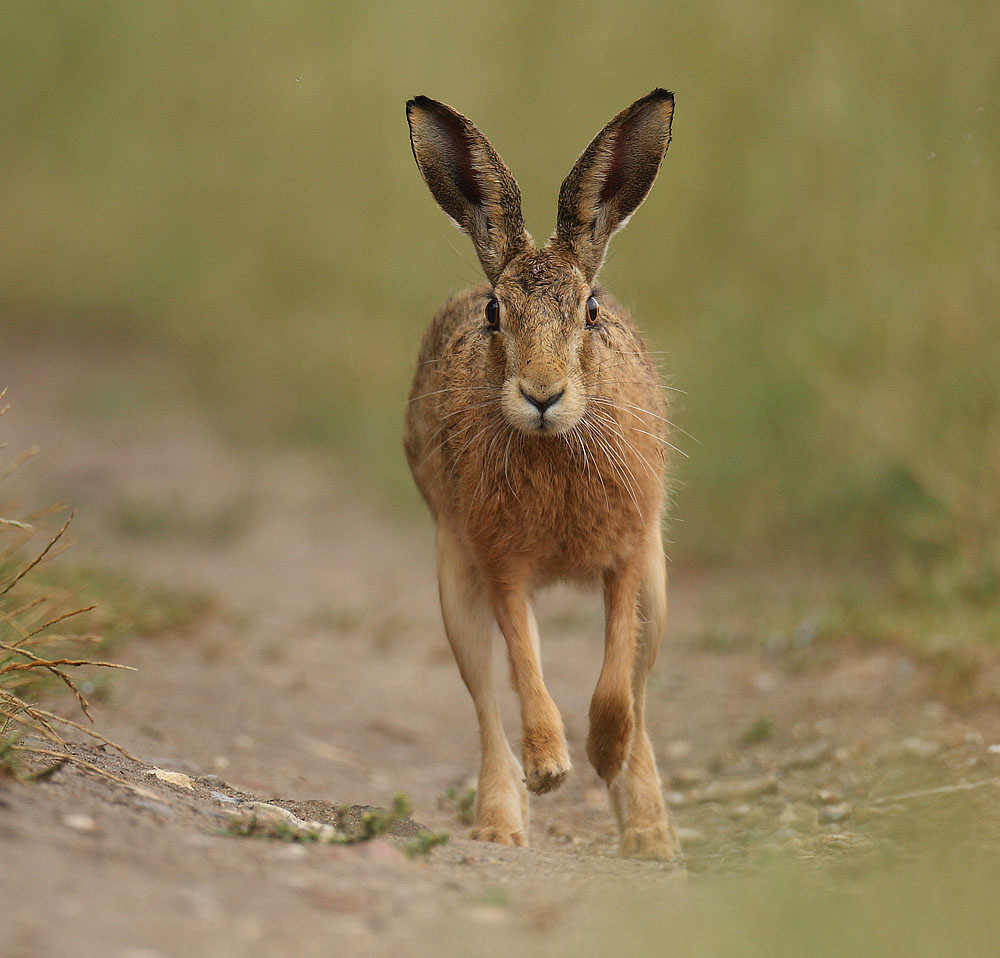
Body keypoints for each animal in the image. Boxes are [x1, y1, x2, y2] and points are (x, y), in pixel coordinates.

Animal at [404, 90, 677, 860]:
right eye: (496, 312)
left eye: (591, 310)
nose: (542, 394)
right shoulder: (499, 564)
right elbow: (525, 664)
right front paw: (553, 767)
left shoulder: (630, 553)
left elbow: (617, 681)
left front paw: (604, 754)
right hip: (454, 579)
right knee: (485, 701)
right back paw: (503, 820)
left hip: (659, 587)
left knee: (641, 688)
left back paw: (650, 830)